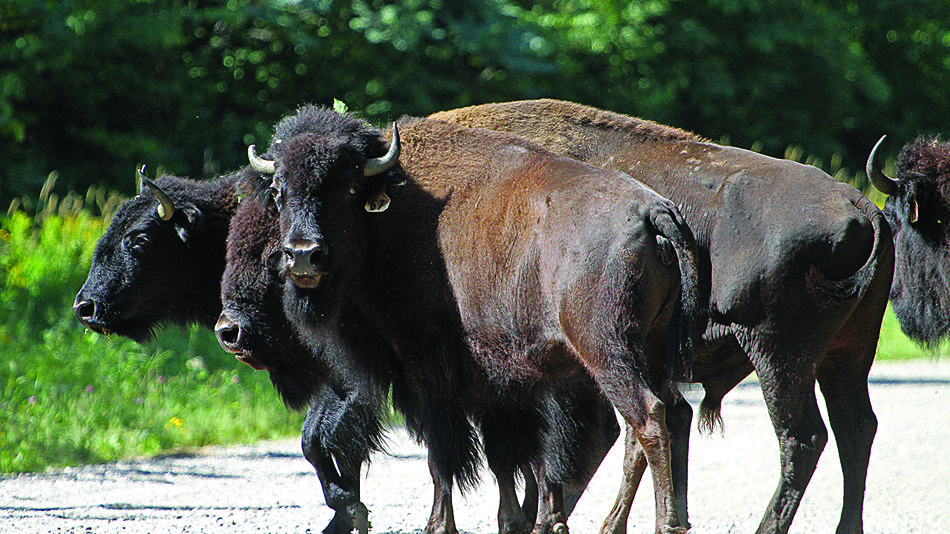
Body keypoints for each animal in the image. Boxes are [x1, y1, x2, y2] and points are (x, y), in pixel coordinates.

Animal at [246, 105, 702, 534]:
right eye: (278, 190)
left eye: (349, 187)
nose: (303, 255)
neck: (389, 211)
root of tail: (653, 212)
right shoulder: (497, 382)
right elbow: (504, 456)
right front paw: (513, 521)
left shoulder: (429, 372)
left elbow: (443, 456)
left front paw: (439, 525)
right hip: (652, 352)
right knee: (668, 416)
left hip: (609, 353)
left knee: (649, 419)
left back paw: (665, 523)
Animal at [431, 99, 894, 534]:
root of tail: (861, 206)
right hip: (847, 352)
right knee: (856, 427)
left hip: (778, 355)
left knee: (802, 436)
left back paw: (765, 526)